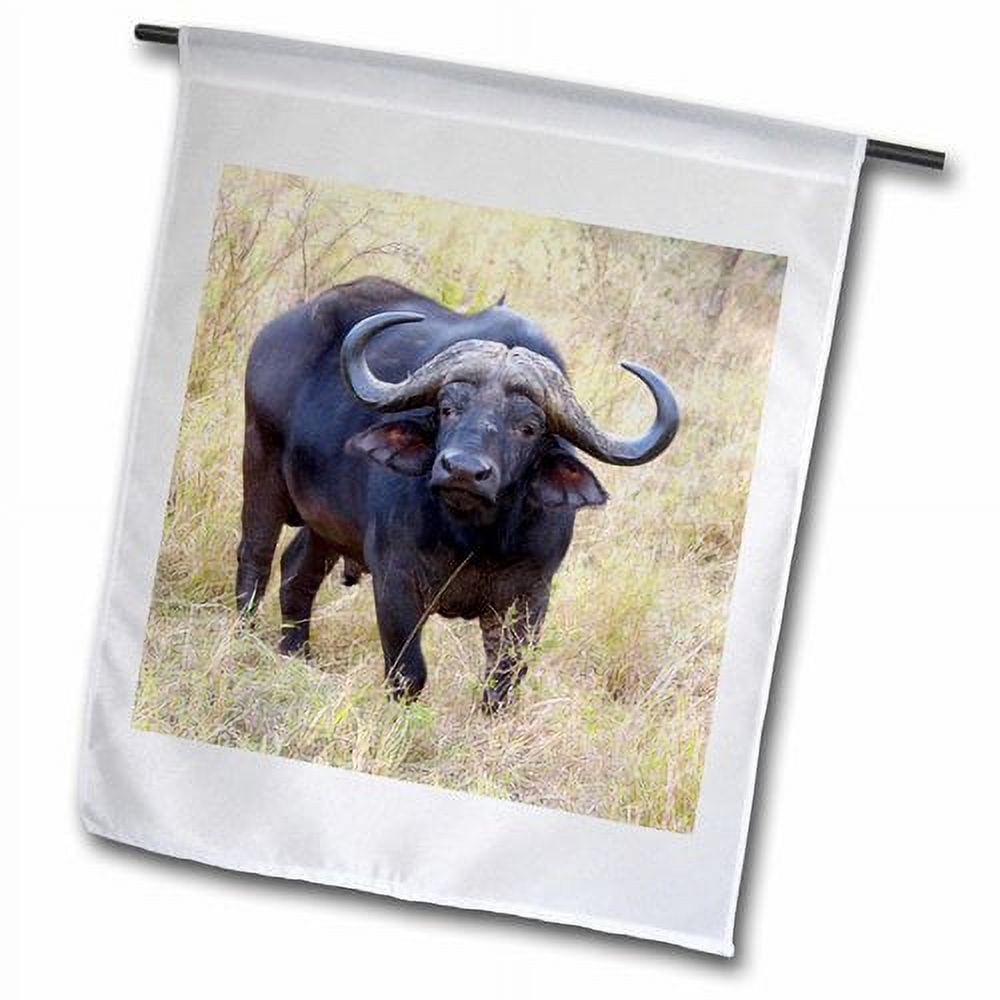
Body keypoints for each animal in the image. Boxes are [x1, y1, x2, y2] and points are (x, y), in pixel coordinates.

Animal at [237, 277, 679, 710]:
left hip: (326, 525)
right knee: (256, 555)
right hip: (260, 460)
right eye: (449, 408)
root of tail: (278, 331)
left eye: (528, 427)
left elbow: (502, 685)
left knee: (297, 571)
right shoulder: (396, 581)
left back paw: (295, 653)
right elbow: (408, 674)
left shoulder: (530, 598)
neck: (475, 539)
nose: (463, 470)